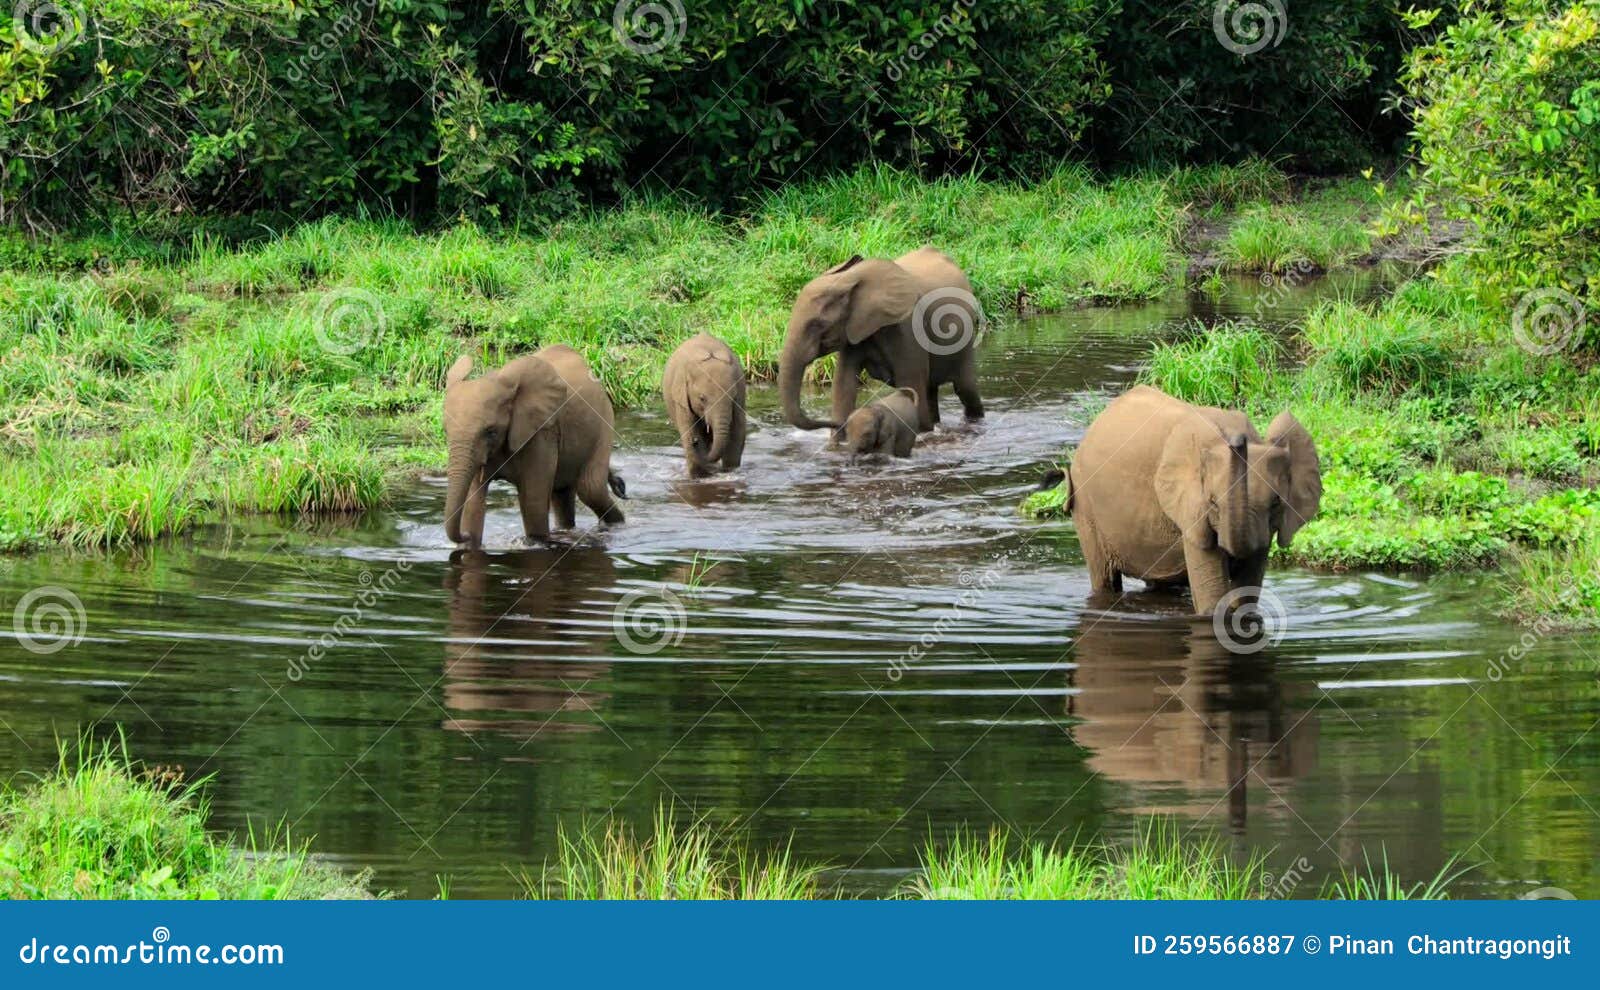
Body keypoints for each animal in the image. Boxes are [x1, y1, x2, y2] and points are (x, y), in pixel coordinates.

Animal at [442, 344, 624, 548]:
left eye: (490, 431)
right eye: (446, 432)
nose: (463, 534)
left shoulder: (541, 433)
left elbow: (533, 502)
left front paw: (534, 543)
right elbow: (474, 501)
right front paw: (470, 543)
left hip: (604, 421)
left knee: (591, 489)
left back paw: (615, 526)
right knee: (562, 492)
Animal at [661, 332, 747, 477]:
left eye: (733, 397)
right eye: (702, 399)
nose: (694, 442)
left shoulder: (740, 396)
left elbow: (737, 431)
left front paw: (730, 471)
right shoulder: (681, 399)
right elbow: (689, 430)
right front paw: (700, 476)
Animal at [778, 247, 983, 433]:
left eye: (817, 325)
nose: (836, 424)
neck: (849, 280)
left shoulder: (907, 327)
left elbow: (909, 386)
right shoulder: (853, 330)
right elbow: (843, 385)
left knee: (964, 389)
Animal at [1061, 385, 1321, 617]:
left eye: (1276, 503)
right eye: (1213, 503)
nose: (1238, 441)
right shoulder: (1192, 510)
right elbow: (1212, 604)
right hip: (1085, 506)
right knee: (1104, 577)